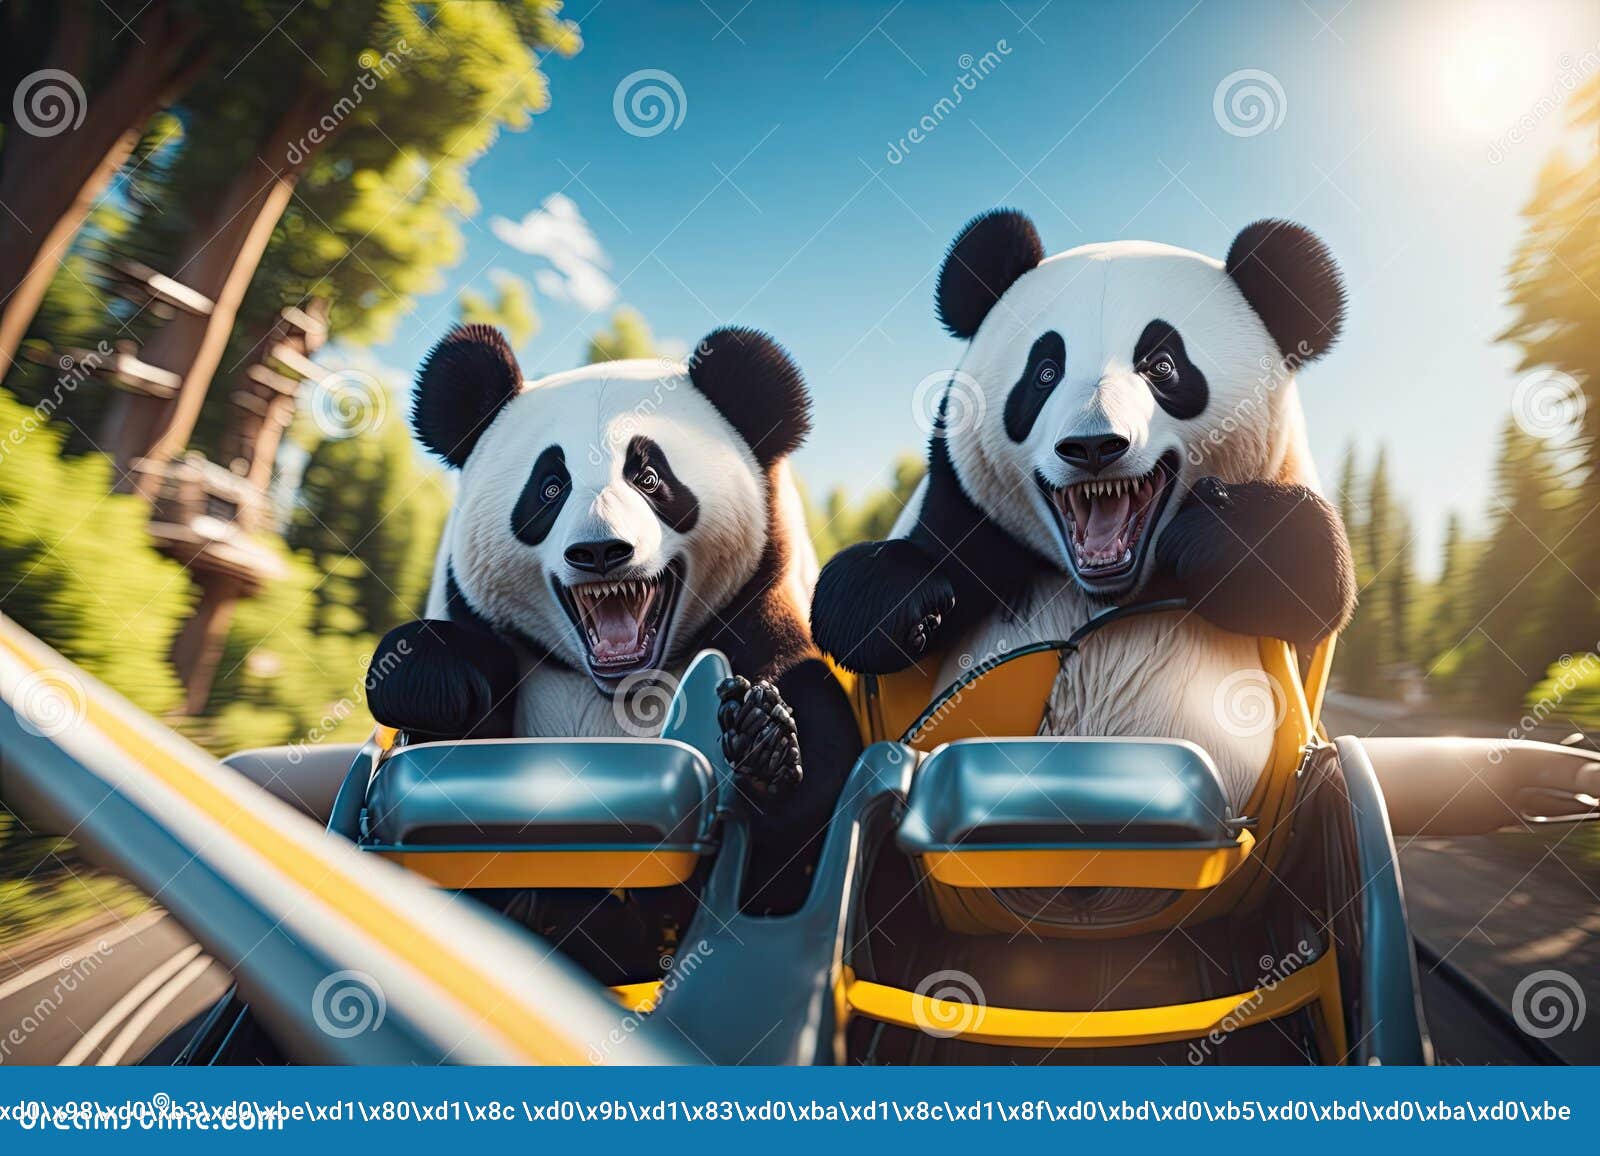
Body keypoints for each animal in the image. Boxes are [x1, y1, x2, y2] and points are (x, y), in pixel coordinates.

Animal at [365, 324, 860, 969]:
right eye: (550, 487)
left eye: (649, 479)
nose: (601, 551)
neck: (621, 692)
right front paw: (435, 677)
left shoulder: (760, 614)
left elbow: (817, 768)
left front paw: (764, 745)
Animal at [811, 210, 1356, 810]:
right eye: (1045, 372)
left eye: (1163, 366)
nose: (1093, 446)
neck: (1104, 595)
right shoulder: (965, 517)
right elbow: (881, 600)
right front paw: (904, 599)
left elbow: (1314, 578)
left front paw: (1217, 535)